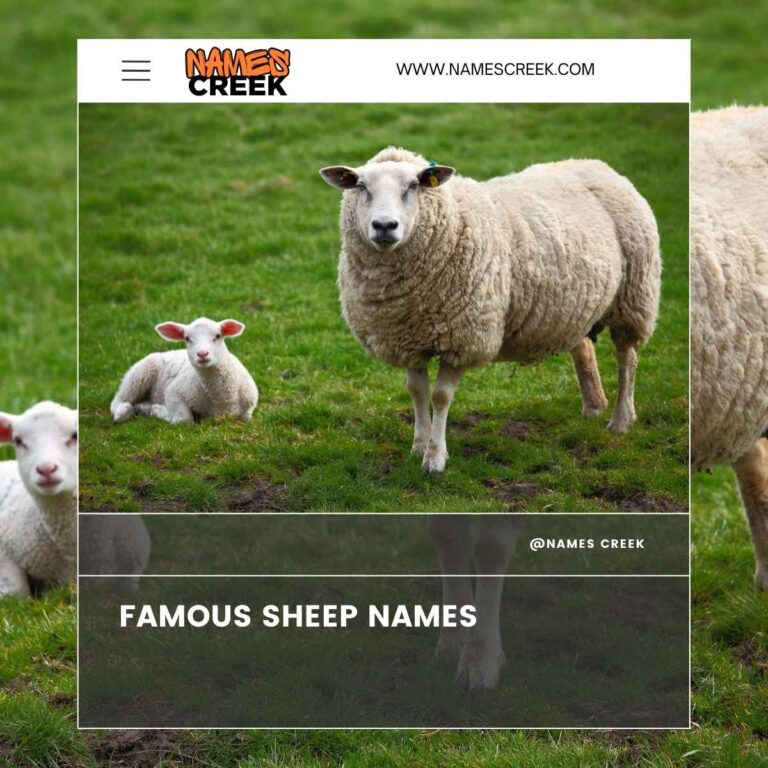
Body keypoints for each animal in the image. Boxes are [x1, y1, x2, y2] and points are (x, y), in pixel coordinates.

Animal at [111, 317, 258, 425]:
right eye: (187, 338)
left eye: (218, 336)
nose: (202, 354)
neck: (222, 399)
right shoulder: (174, 391)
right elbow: (184, 419)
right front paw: (159, 410)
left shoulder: (248, 409)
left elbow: (247, 418)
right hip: (138, 376)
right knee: (118, 401)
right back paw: (125, 411)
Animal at [320, 146, 661, 474]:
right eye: (361, 186)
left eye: (414, 185)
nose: (384, 226)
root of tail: (598, 165)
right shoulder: (407, 339)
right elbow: (417, 392)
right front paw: (418, 446)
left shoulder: (463, 340)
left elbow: (440, 396)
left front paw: (435, 458)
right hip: (574, 305)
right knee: (584, 348)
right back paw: (593, 406)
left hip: (633, 298)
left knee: (627, 358)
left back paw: (621, 420)